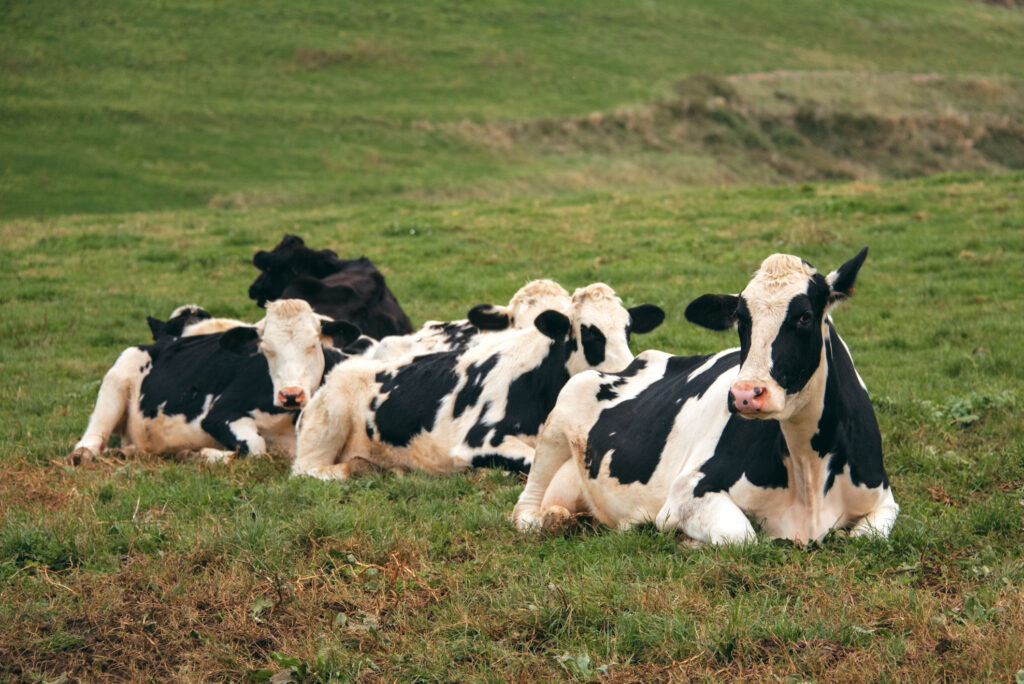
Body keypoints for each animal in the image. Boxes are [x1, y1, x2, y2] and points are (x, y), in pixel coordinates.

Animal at [67, 299, 361, 465]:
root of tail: (167, 340)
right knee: (94, 434)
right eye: (266, 349)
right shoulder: (219, 414)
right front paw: (199, 454)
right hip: (118, 376)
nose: (291, 395)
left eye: (313, 344)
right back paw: (83, 454)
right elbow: (255, 447)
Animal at [513, 249, 898, 545]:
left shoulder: (885, 500)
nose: (745, 395)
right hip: (558, 423)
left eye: (804, 317)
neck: (810, 470)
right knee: (524, 510)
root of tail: (635, 361)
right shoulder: (687, 490)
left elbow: (868, 536)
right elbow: (743, 537)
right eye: (741, 319)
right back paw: (552, 519)